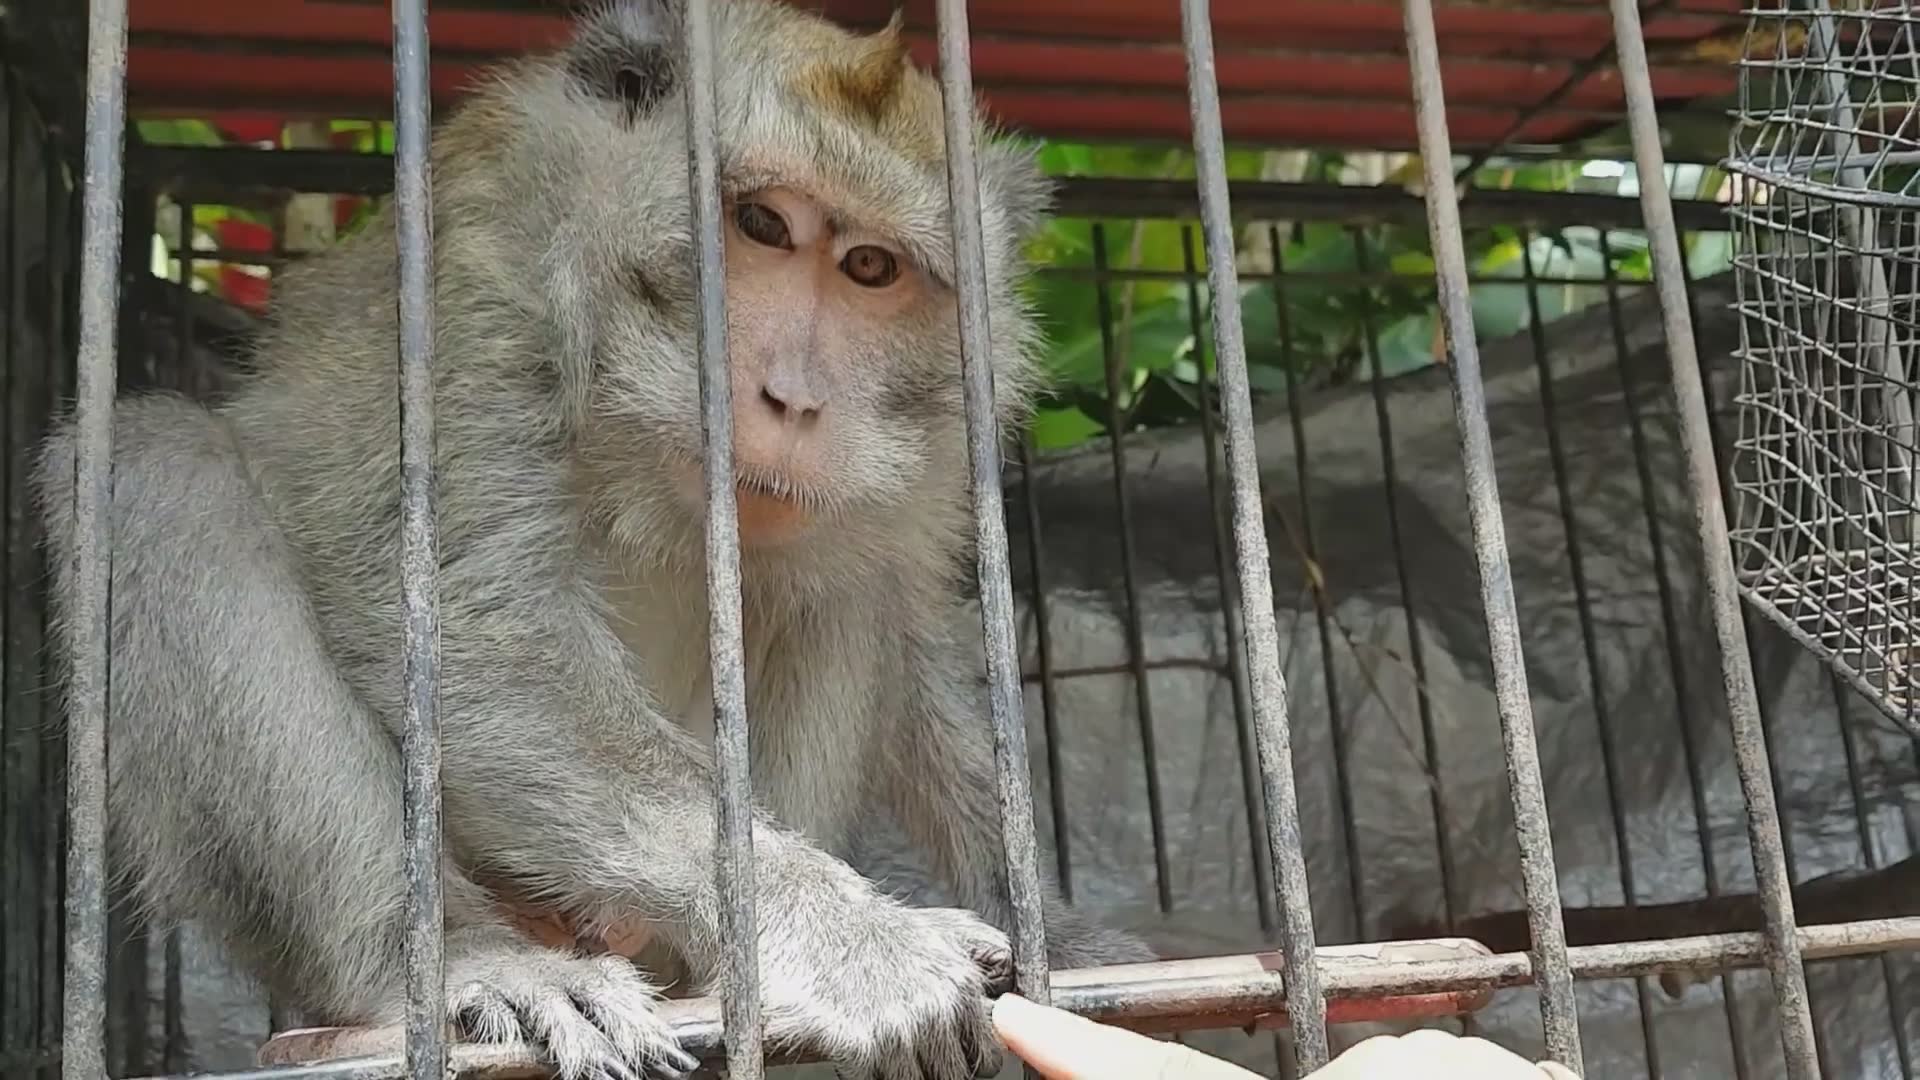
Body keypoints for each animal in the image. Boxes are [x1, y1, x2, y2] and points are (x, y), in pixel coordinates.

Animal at [33, 2, 1155, 1078]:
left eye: (870, 268)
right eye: (761, 223)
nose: (793, 398)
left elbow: (913, 650)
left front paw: (1063, 936)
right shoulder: (479, 291)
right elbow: (469, 635)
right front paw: (851, 944)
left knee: (841, 591)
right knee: (152, 473)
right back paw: (462, 963)